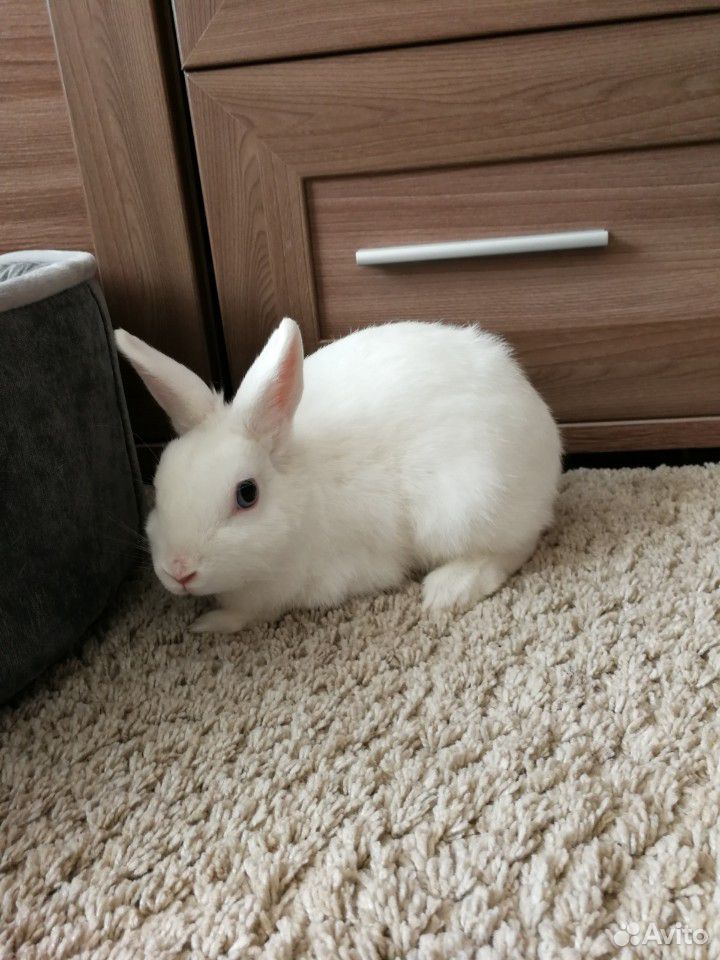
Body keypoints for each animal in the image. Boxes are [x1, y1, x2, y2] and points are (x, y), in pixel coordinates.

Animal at [115, 319, 561, 633]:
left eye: (247, 494)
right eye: (161, 483)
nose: (179, 570)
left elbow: (253, 612)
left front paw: (210, 623)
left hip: (469, 506)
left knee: (516, 546)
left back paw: (448, 589)